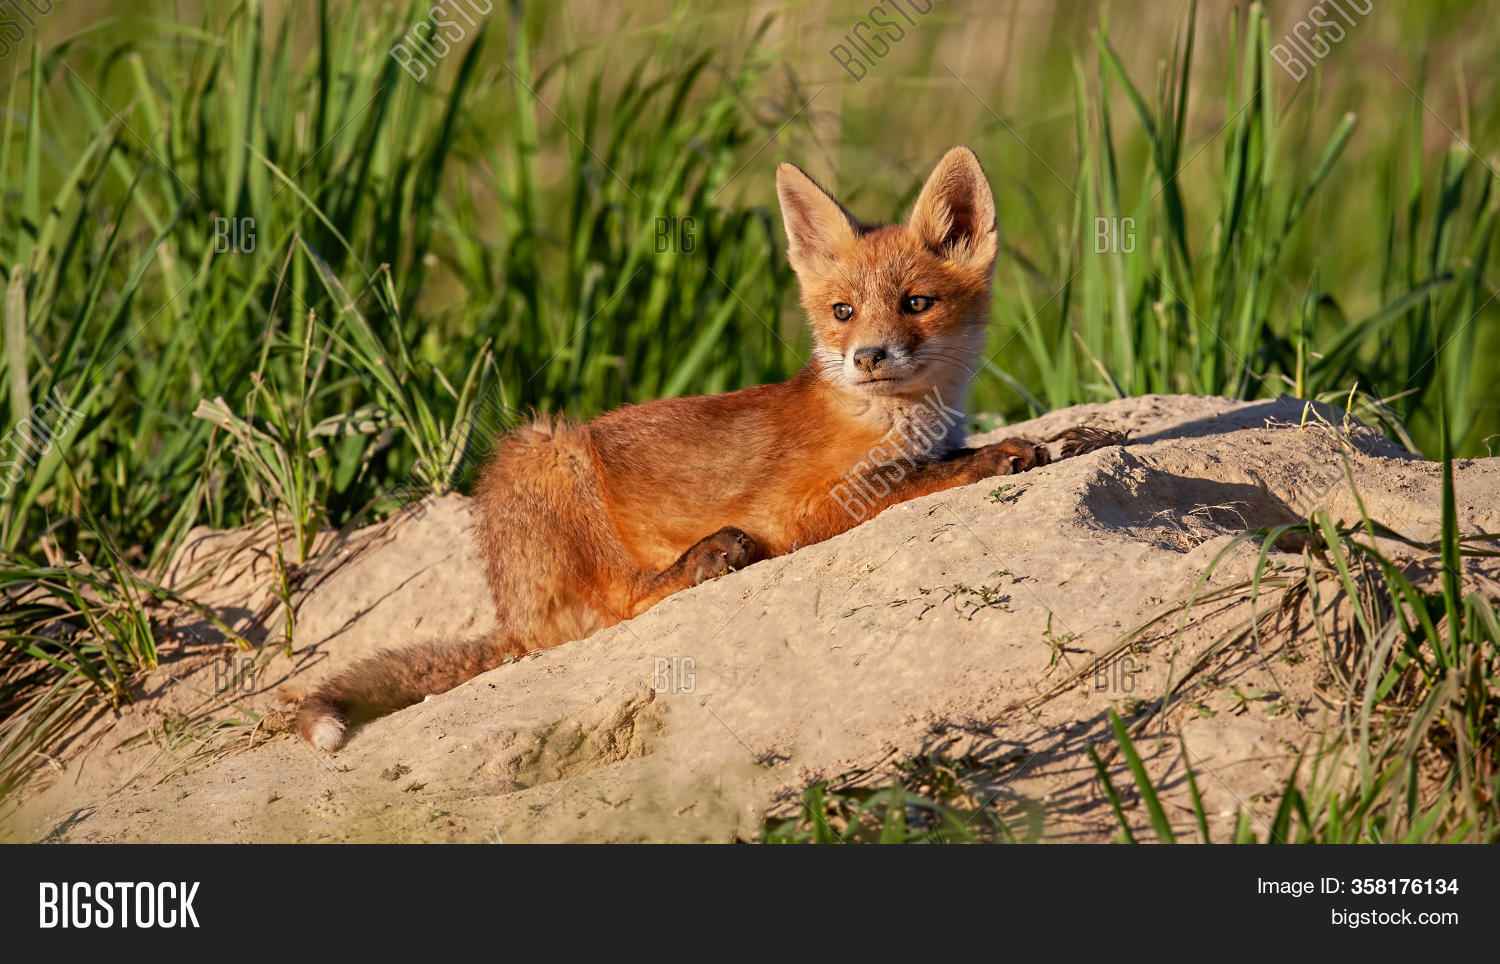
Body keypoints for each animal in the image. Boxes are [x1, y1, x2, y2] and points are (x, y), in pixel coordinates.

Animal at [296, 146, 1114, 751]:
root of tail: (508, 611)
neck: (897, 418)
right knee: (623, 603)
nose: (868, 357)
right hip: (551, 448)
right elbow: (918, 477)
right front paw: (999, 458)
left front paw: (1069, 436)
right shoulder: (806, 508)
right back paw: (706, 558)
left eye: (917, 303)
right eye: (843, 312)